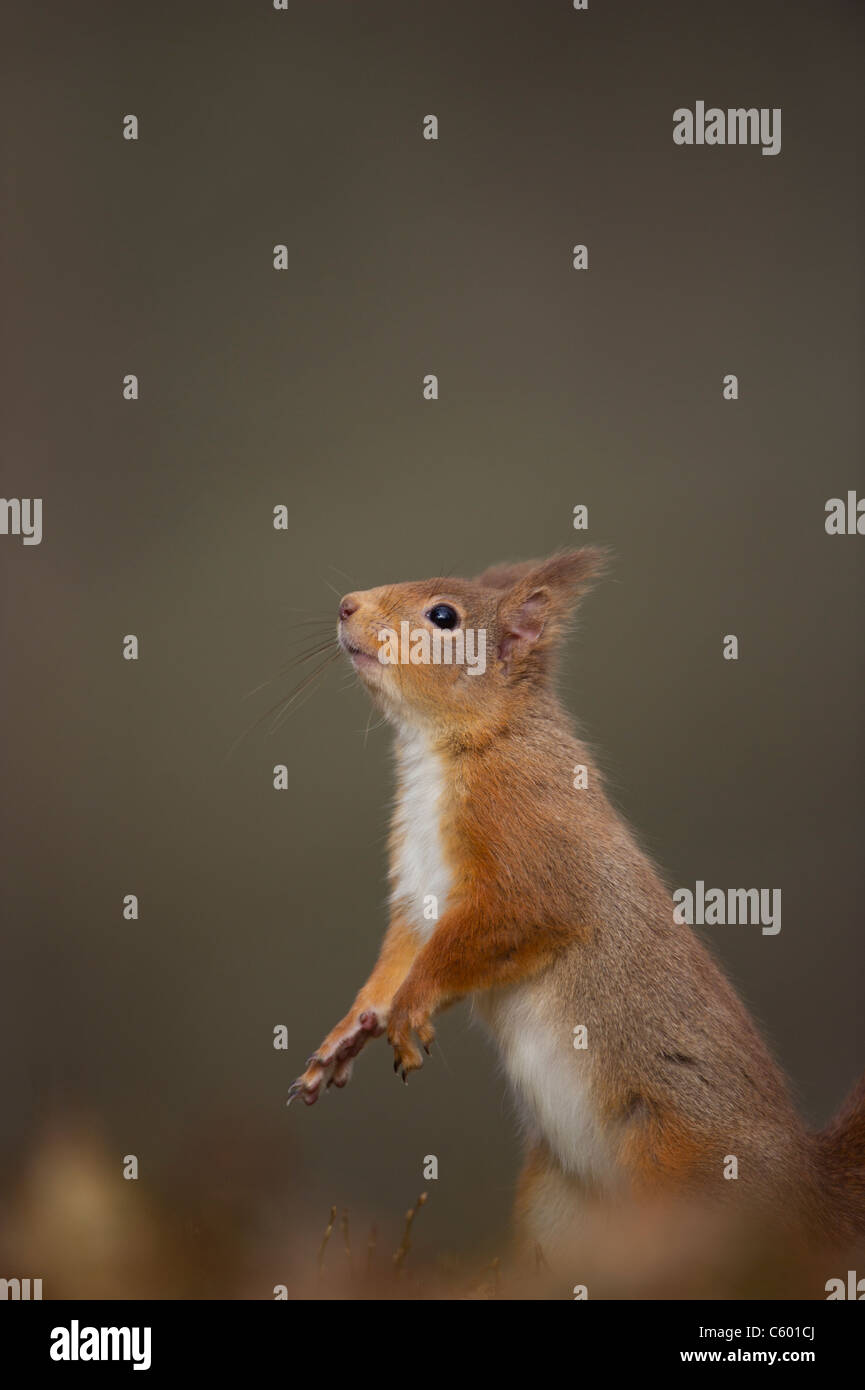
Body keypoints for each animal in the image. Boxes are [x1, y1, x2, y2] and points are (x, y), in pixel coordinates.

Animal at [289, 549, 865, 1255]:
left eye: (444, 617)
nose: (347, 605)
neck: (451, 748)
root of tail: (808, 1194)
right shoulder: (416, 894)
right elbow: (394, 963)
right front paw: (345, 1036)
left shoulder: (531, 854)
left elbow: (489, 936)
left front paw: (410, 1010)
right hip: (554, 1207)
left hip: (685, 1185)